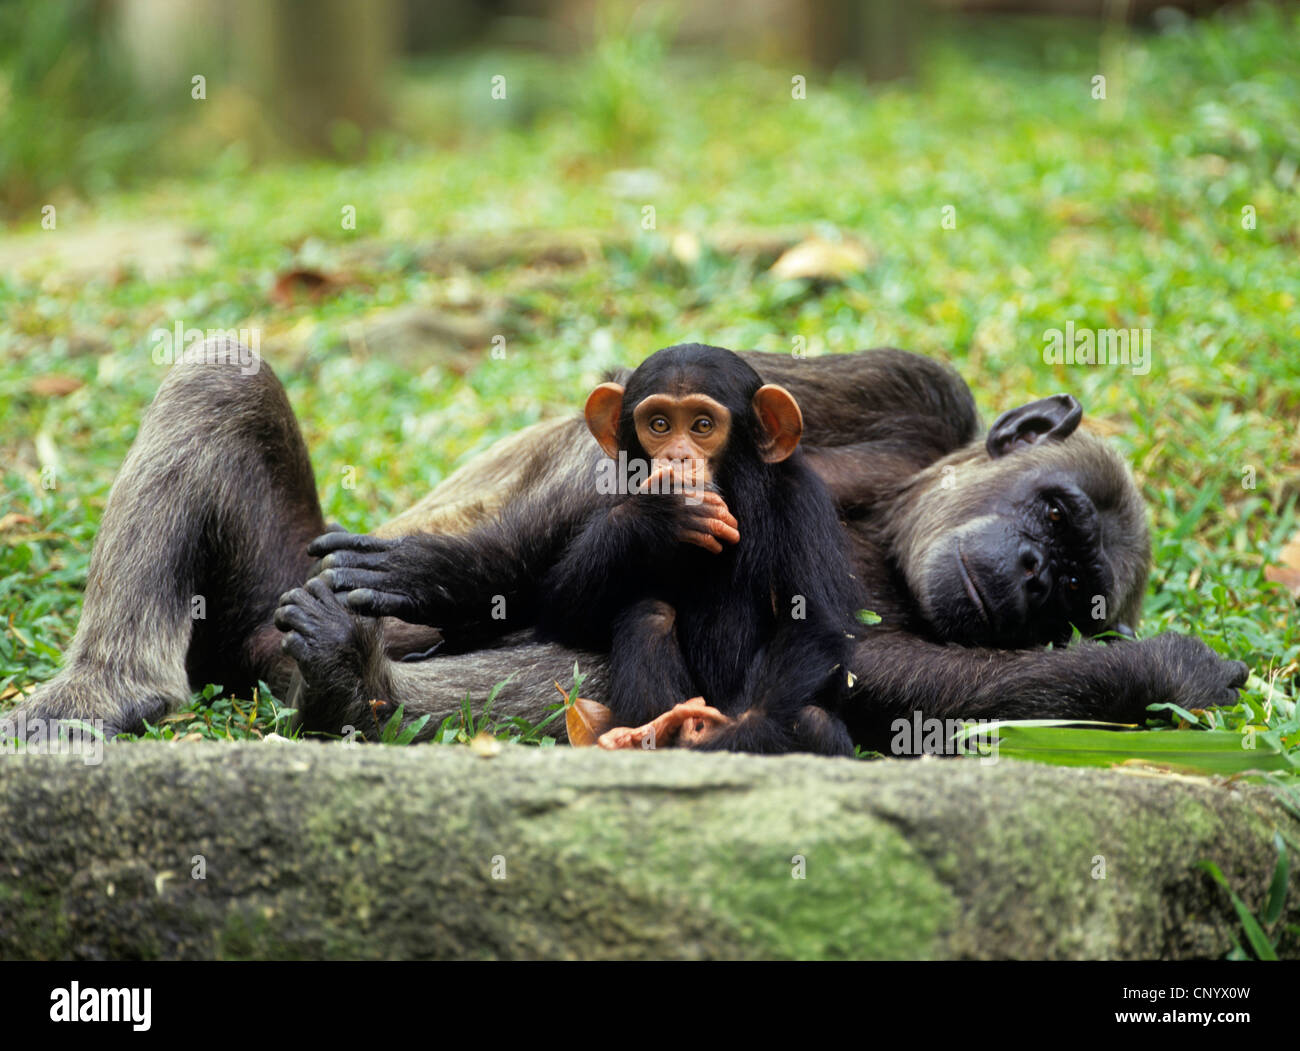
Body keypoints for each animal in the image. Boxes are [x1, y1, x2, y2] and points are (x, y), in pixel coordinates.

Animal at [7, 339, 1248, 753]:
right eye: (1057, 514)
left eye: (1079, 600)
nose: (1038, 574)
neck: (893, 520)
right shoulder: (903, 392)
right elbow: (613, 436)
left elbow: (874, 673)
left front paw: (1163, 671)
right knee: (222, 372)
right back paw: (106, 689)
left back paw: (345, 689)